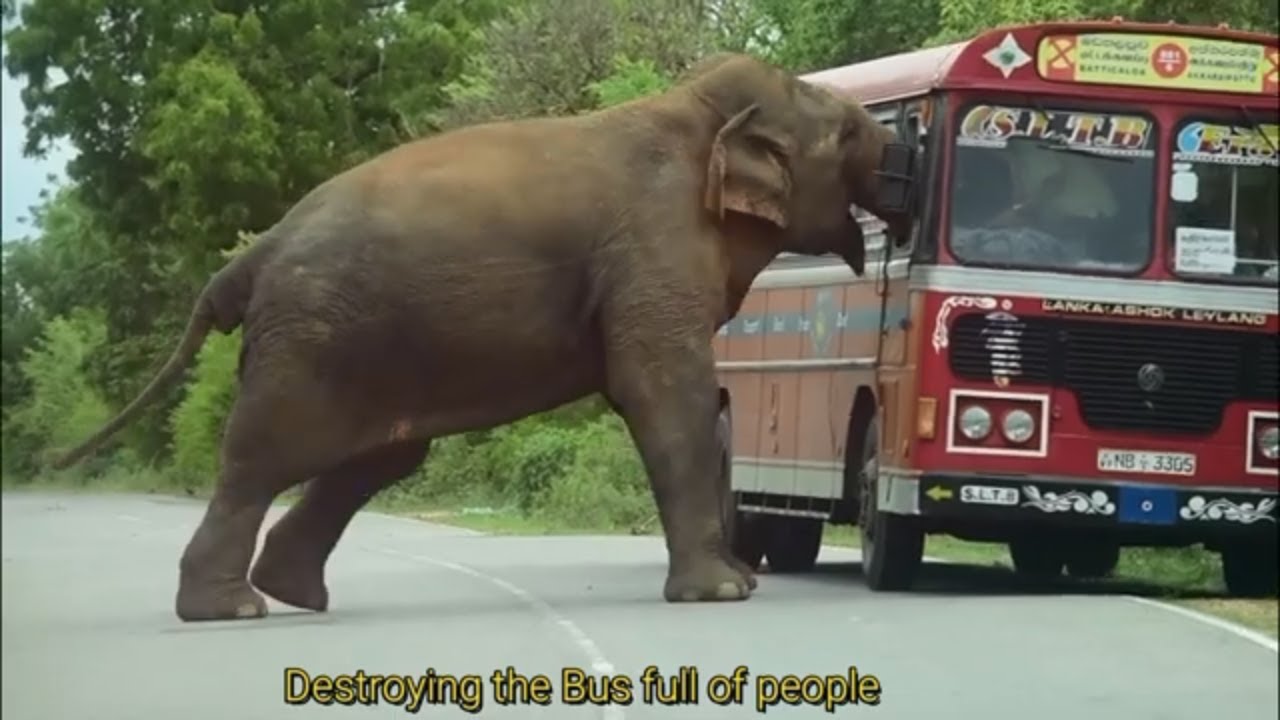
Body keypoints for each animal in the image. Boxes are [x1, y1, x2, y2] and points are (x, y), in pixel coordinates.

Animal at [51, 51, 914, 622]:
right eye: (846, 135)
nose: (911, 162)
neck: (694, 112)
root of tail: (250, 255)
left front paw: (738, 583)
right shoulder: (651, 250)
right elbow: (666, 393)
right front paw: (726, 594)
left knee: (380, 456)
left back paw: (292, 594)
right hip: (313, 337)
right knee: (264, 458)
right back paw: (233, 610)